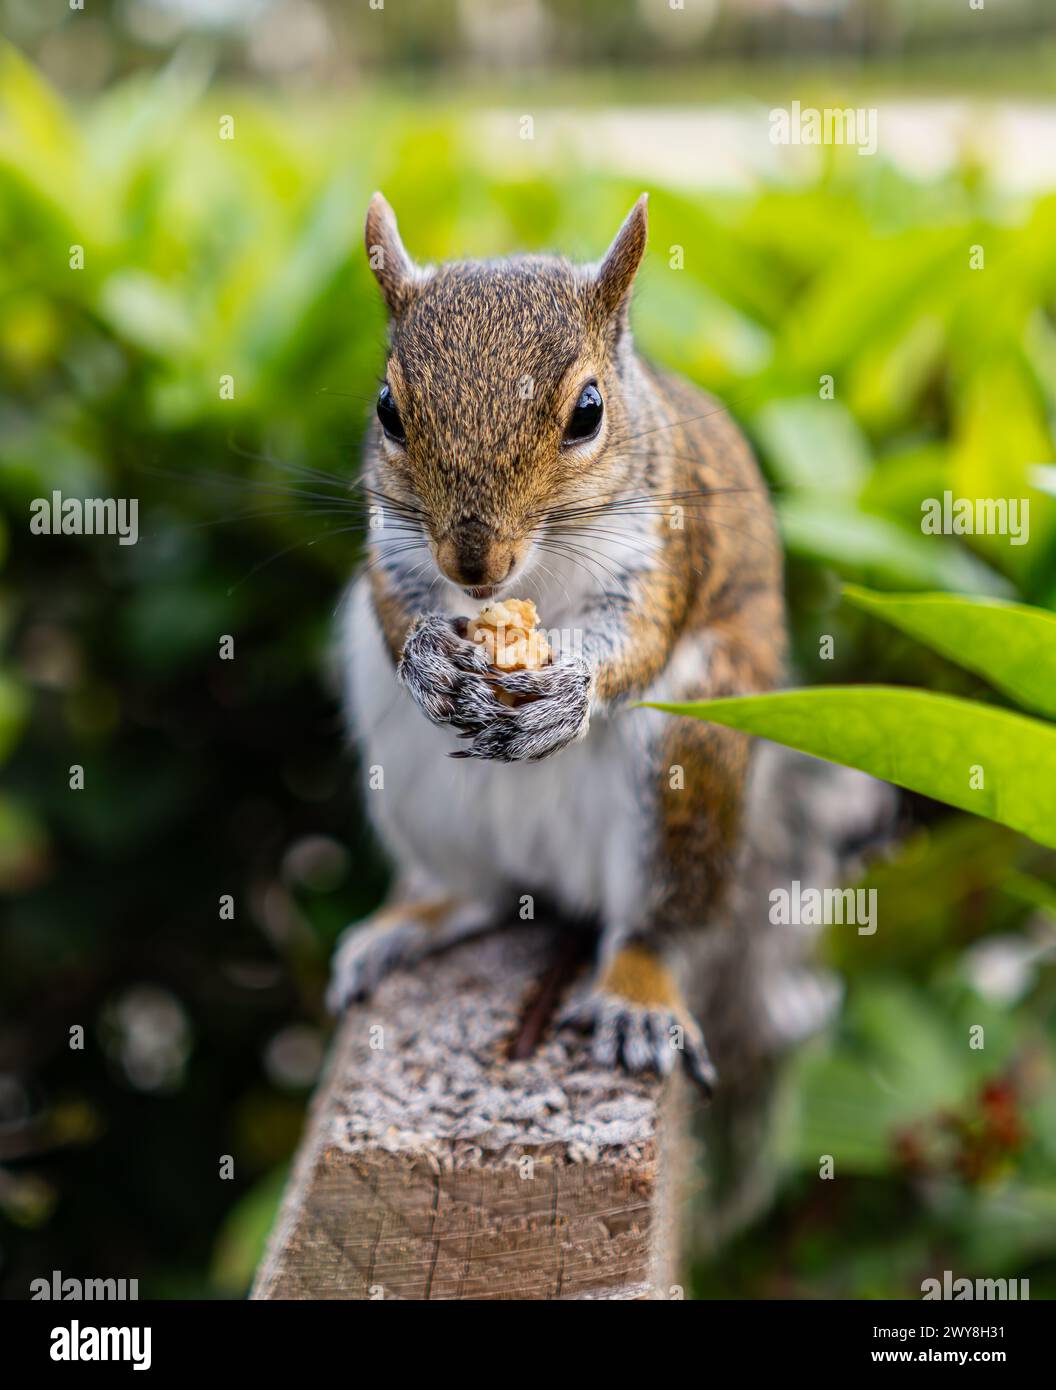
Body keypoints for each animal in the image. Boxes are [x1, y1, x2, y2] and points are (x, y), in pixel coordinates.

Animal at [327, 191, 790, 1094]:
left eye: (589, 412)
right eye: (387, 410)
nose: (473, 563)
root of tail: (555, 878)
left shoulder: (661, 544)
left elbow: (639, 633)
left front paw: (567, 693)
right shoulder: (391, 543)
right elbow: (395, 606)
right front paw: (427, 658)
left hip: (690, 761)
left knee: (655, 926)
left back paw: (637, 993)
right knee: (480, 892)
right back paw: (418, 918)